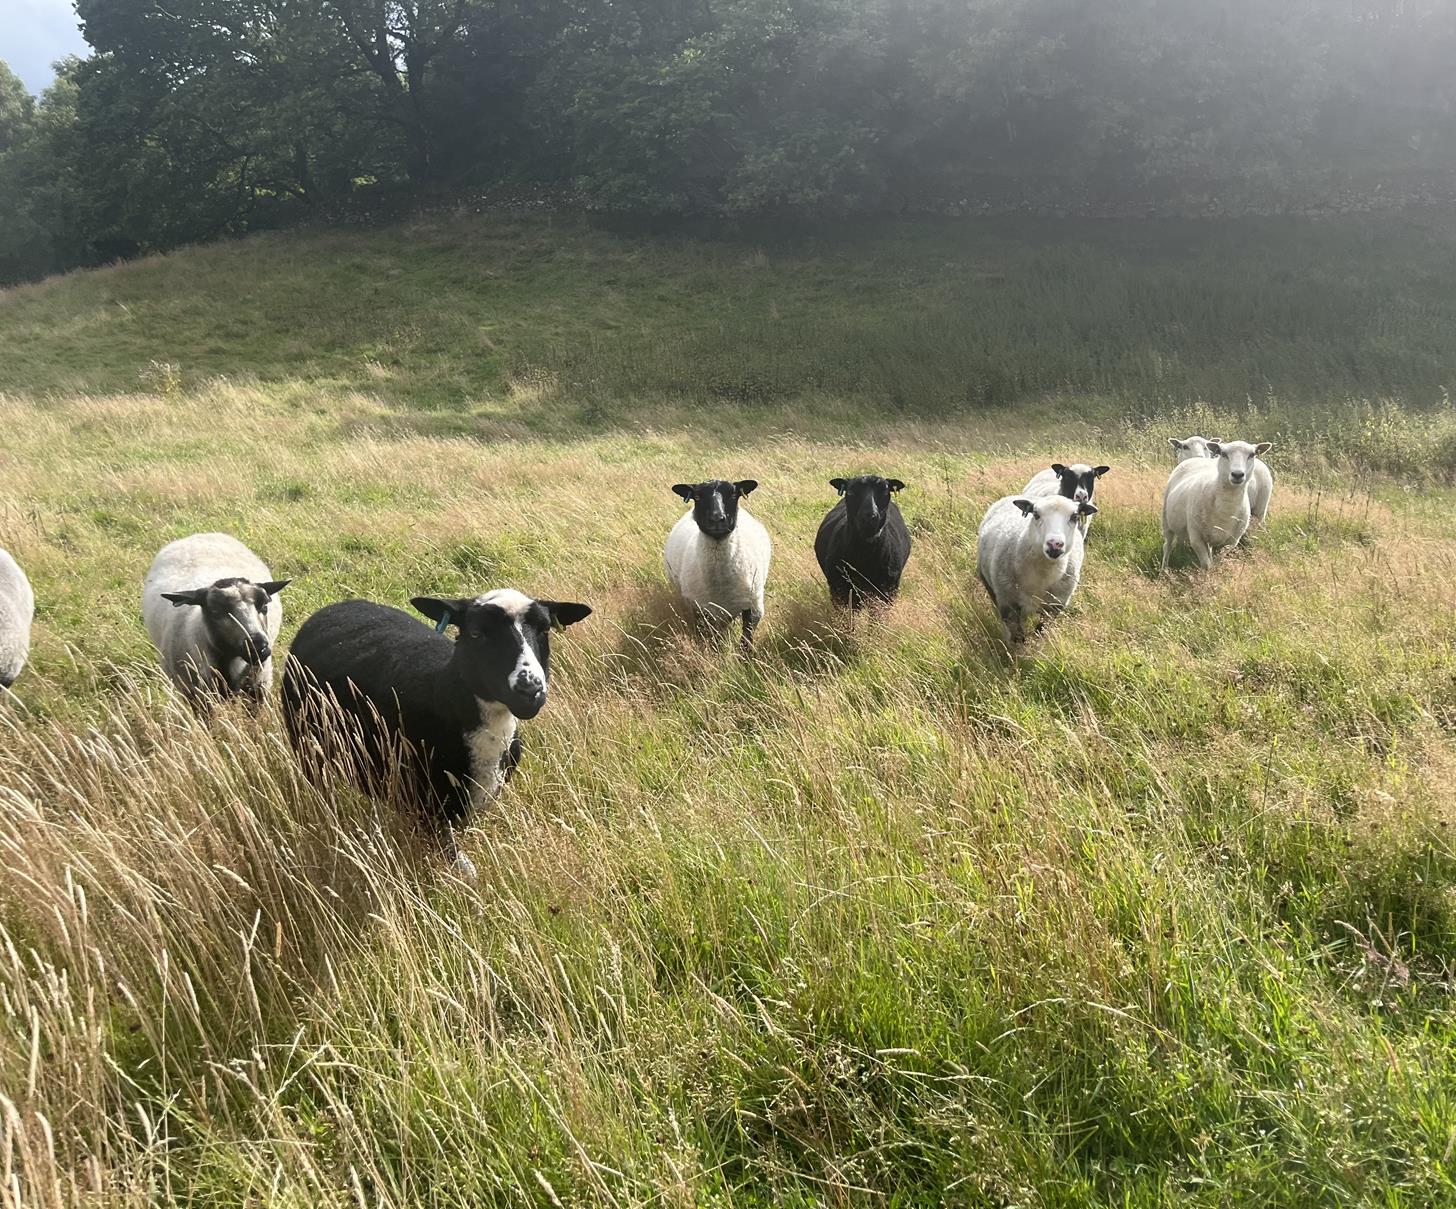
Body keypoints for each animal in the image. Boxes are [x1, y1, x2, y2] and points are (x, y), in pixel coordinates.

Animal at [141, 533, 290, 703]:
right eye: (215, 611)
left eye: (264, 606)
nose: (259, 646)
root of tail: (199, 535)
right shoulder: (195, 694)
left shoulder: (258, 687)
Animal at [281, 589, 591, 875]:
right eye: (476, 633)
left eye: (545, 629)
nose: (530, 690)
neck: (444, 694)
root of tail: (335, 607)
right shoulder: (426, 810)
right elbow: (461, 868)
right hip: (309, 748)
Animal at [664, 479, 772, 647]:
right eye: (697, 496)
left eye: (734, 494)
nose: (716, 519)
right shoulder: (699, 609)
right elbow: (711, 641)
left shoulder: (753, 608)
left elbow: (746, 642)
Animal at [977, 494, 1097, 645]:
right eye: (1036, 514)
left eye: (1074, 516)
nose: (1054, 545)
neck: (1041, 576)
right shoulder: (1008, 603)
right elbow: (1017, 636)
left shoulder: (1054, 606)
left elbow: (1041, 630)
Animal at [1161, 439, 1272, 570]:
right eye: (1223, 453)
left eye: (1252, 454)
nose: (1237, 474)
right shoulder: (1196, 538)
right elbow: (1206, 565)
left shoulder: (1231, 542)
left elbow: (1218, 562)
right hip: (1166, 520)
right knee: (1167, 546)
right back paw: (1163, 570)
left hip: (1259, 513)